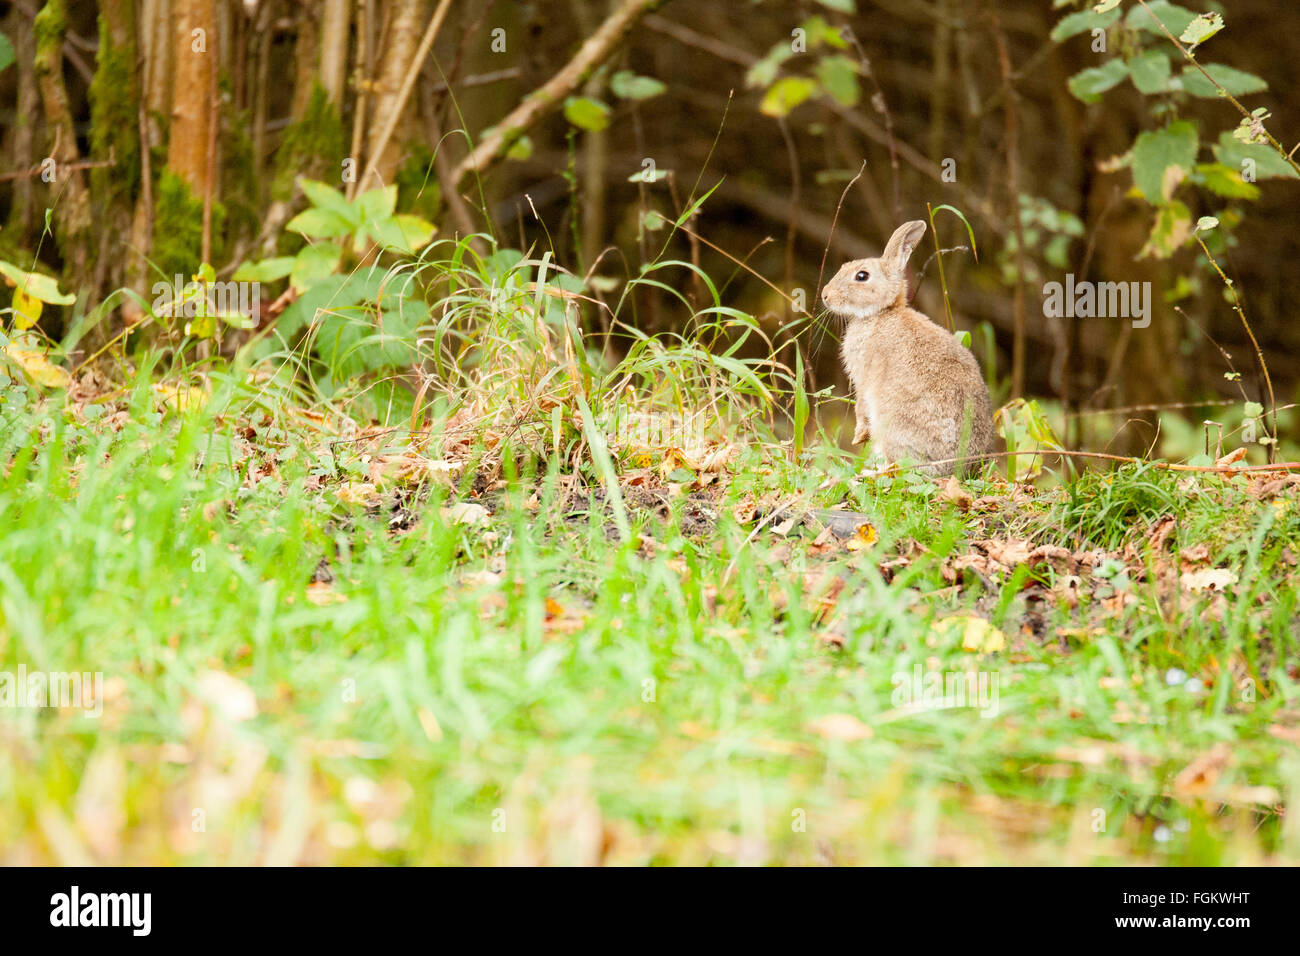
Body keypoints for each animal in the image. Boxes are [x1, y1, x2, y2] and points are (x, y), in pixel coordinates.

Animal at [820, 220, 995, 478]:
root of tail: (957, 469)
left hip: (891, 425)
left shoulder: (864, 377)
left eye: (862, 276)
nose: (825, 296)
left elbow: (861, 406)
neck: (881, 313)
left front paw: (858, 435)